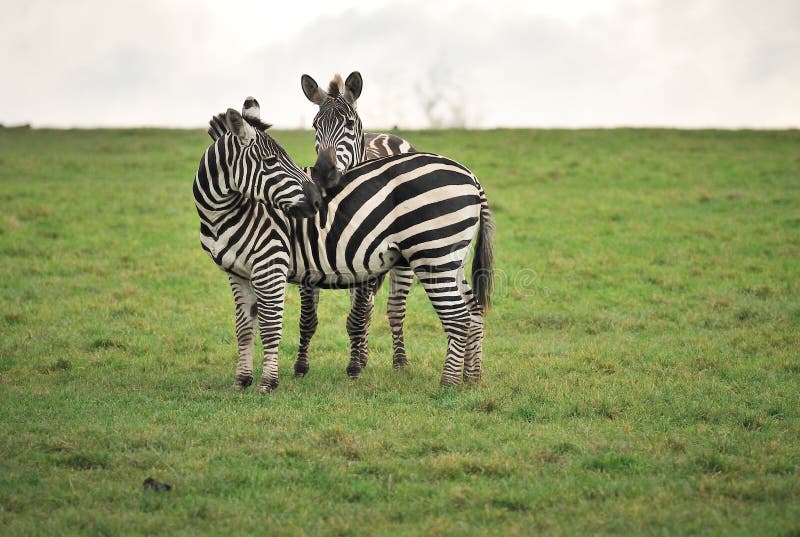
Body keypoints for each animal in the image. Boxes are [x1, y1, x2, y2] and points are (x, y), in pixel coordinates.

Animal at [195, 102, 495, 390]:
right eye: (270, 161)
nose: (317, 201)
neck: (226, 213)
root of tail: (470, 175)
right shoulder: (237, 273)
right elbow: (245, 328)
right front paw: (241, 381)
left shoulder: (270, 264)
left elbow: (270, 327)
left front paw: (267, 383)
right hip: (452, 257)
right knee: (473, 308)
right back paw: (472, 376)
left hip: (432, 254)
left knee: (457, 316)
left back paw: (448, 383)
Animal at [300, 71, 418, 374]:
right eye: (315, 125)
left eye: (349, 125)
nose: (323, 172)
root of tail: (390, 135)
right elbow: (309, 319)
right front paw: (301, 366)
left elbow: (359, 316)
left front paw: (354, 365)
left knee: (393, 310)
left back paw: (399, 361)